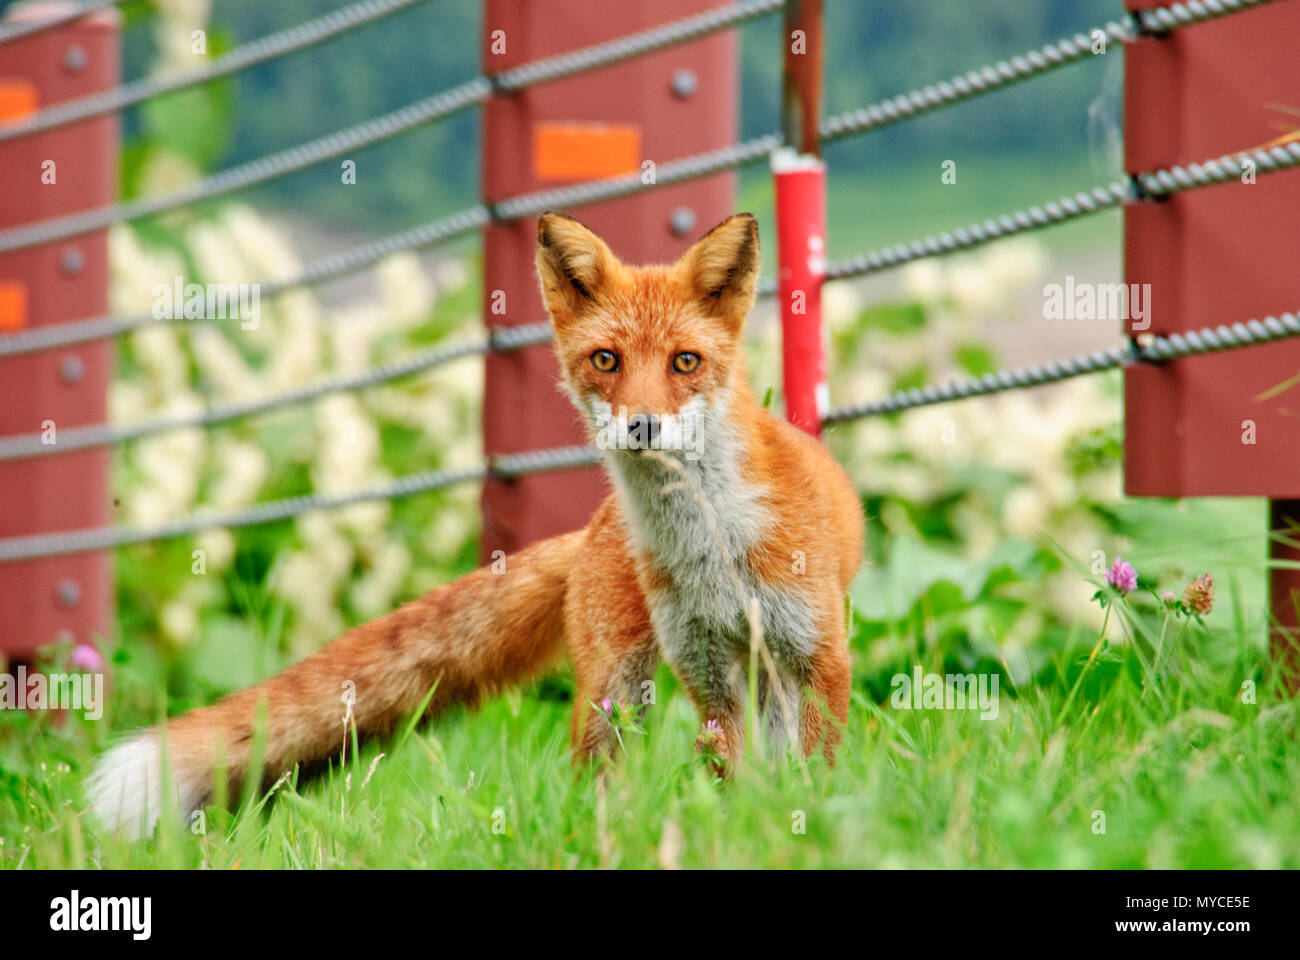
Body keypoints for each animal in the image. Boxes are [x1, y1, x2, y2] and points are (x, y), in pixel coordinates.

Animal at [88, 211, 865, 837]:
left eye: (685, 362)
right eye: (606, 360)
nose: (642, 426)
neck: (715, 543)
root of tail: (595, 526)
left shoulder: (818, 654)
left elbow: (816, 771)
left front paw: (804, 822)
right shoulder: (707, 672)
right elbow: (731, 776)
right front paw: (749, 830)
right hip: (618, 686)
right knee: (599, 773)